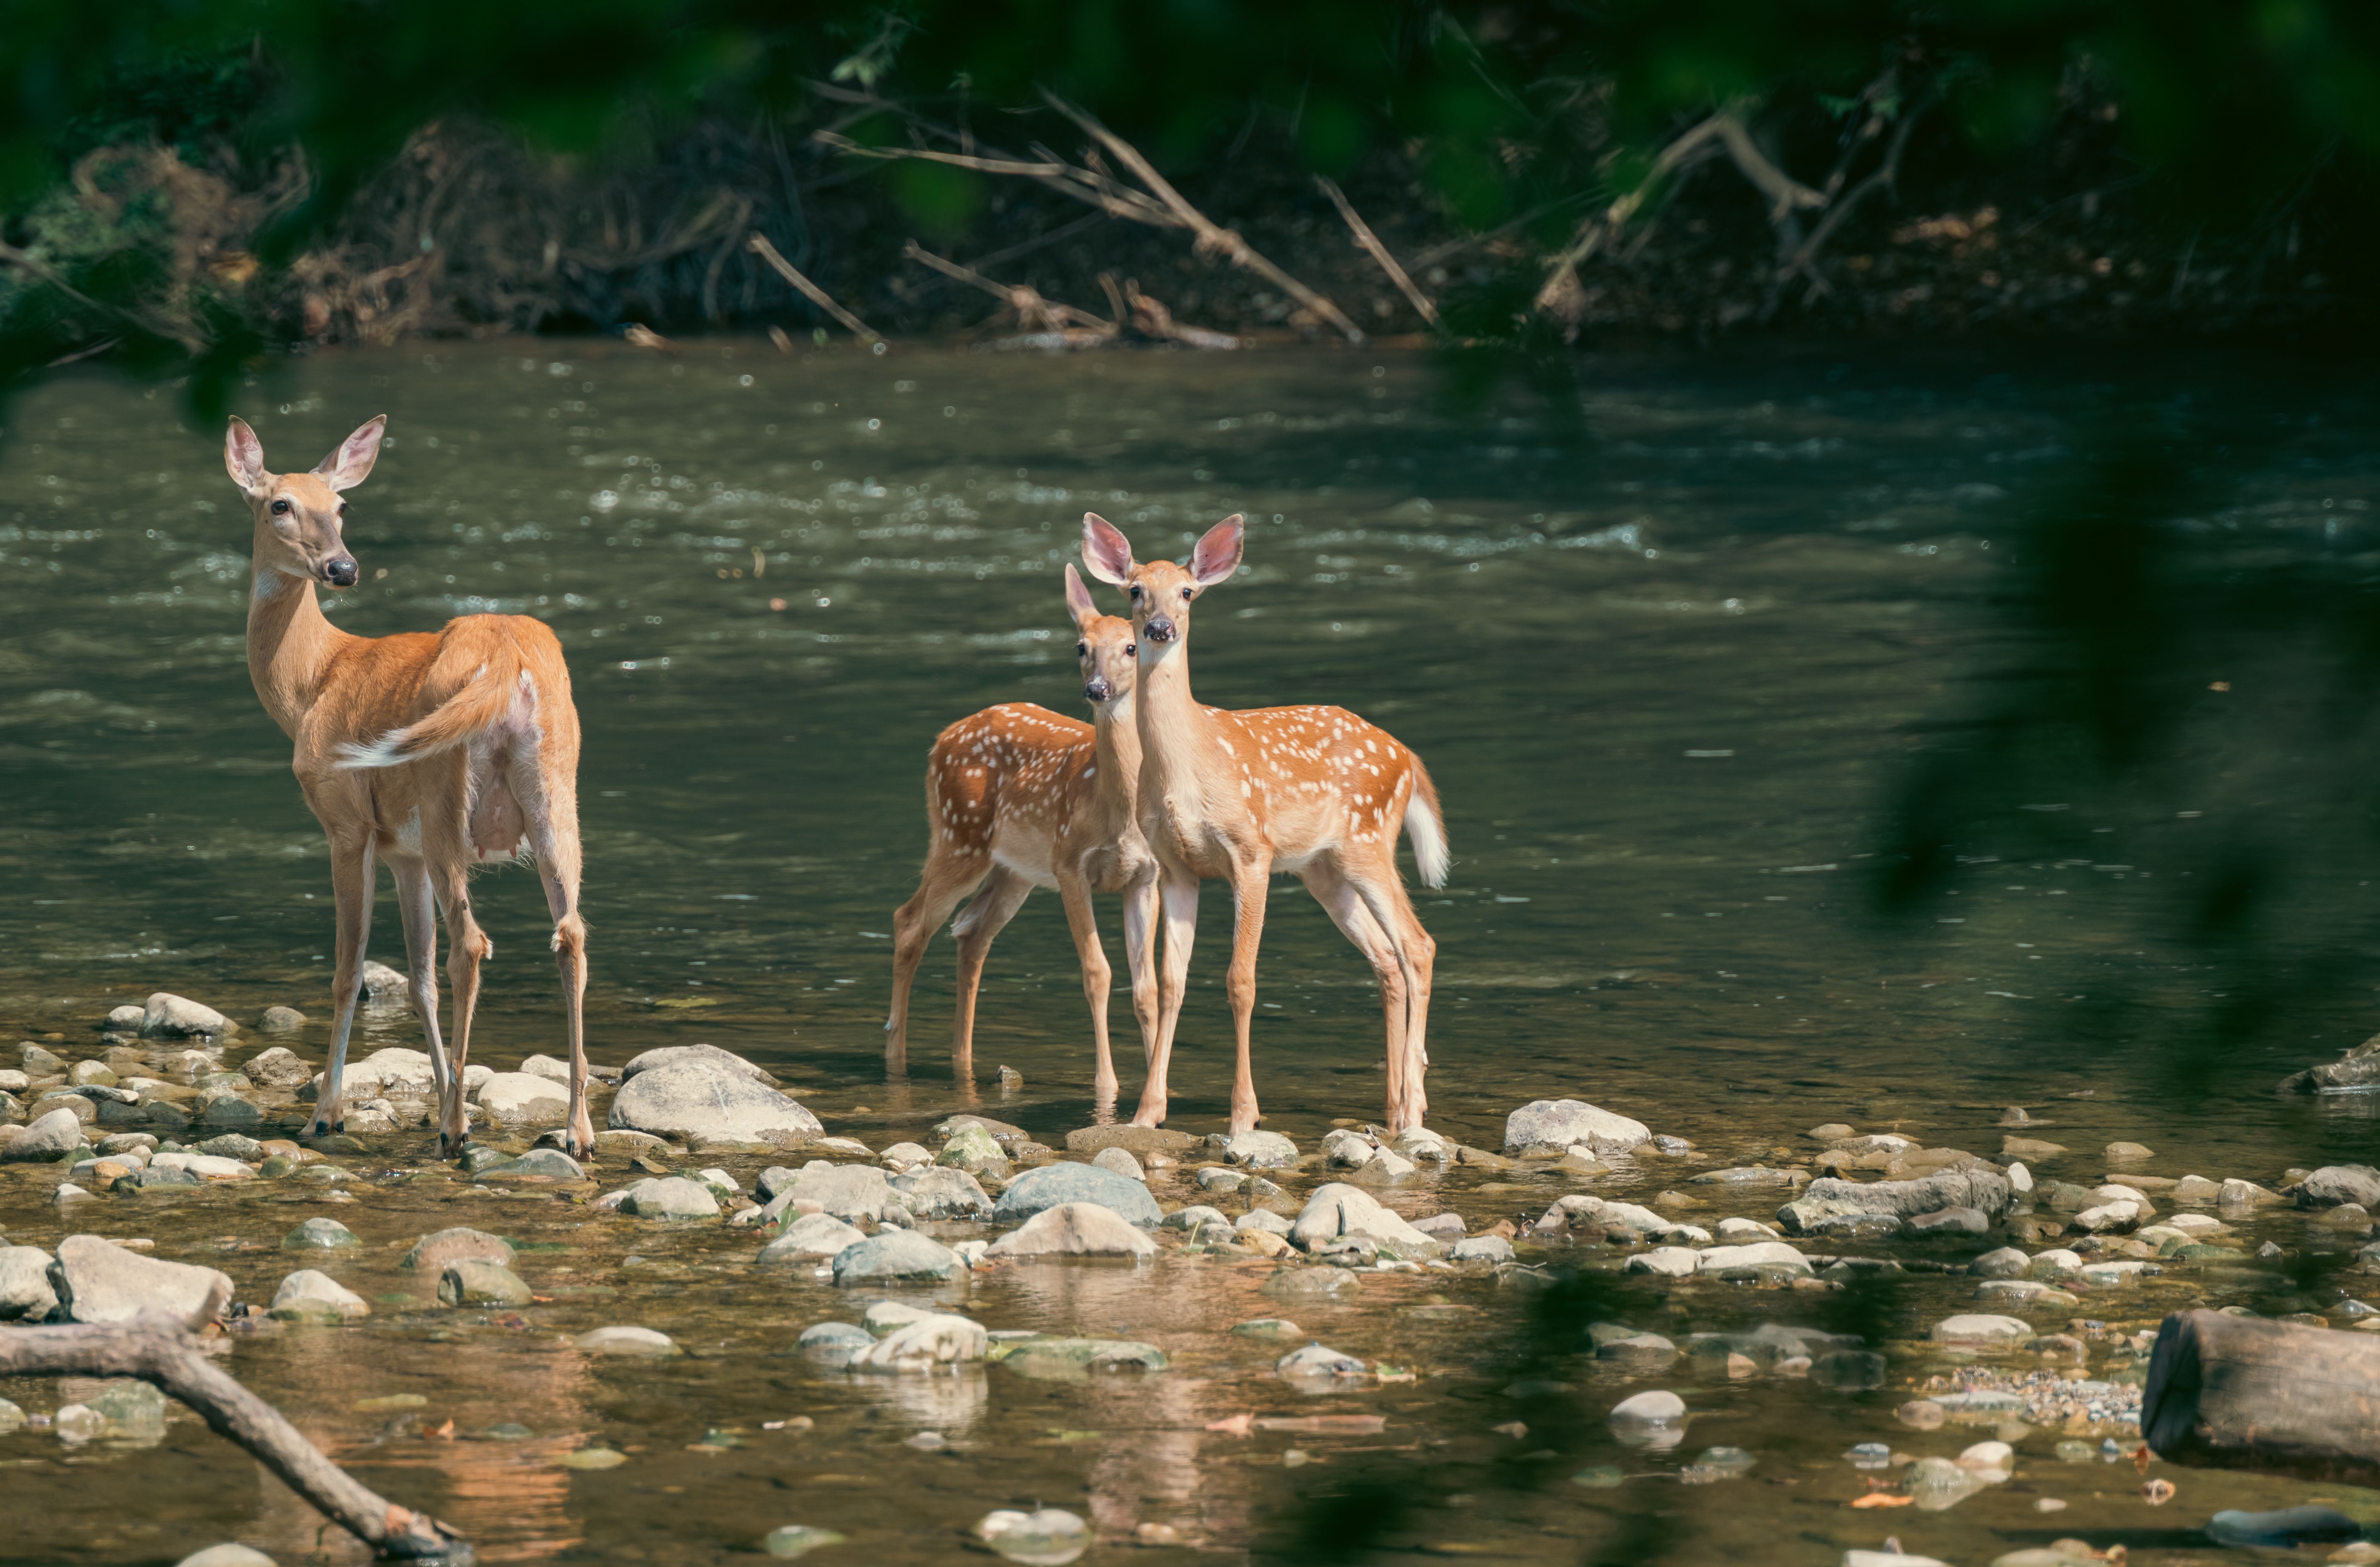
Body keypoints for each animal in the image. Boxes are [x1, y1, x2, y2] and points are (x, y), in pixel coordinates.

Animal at [225, 414, 592, 1160]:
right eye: (281, 505)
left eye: (341, 507)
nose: (342, 567)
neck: (312, 683)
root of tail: (506, 656)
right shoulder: (405, 851)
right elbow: (417, 979)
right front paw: (450, 1093)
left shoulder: (348, 823)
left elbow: (351, 969)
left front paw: (327, 1114)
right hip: (554, 789)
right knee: (569, 932)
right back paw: (577, 1131)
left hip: (446, 791)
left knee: (471, 944)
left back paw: (454, 1133)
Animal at [885, 565, 1158, 1104]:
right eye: (1080, 646)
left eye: (1132, 646)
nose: (1097, 689)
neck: (1115, 810)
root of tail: (939, 741)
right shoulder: (1069, 863)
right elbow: (1097, 972)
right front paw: (1107, 1087)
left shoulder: (1146, 875)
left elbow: (1148, 986)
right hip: (959, 837)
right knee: (909, 922)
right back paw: (895, 1059)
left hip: (1013, 871)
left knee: (972, 934)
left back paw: (962, 1063)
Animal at [1080, 512, 1448, 1136]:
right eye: (1134, 590)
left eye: (1187, 591)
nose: (1159, 628)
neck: (1188, 768)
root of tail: (1407, 757)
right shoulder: (1176, 867)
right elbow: (1173, 982)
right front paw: (1147, 1112)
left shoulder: (1251, 852)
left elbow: (1241, 980)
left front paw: (1242, 1115)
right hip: (1323, 869)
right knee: (1386, 959)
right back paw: (1393, 1105)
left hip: (1367, 841)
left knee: (1417, 945)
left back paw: (1412, 1109)